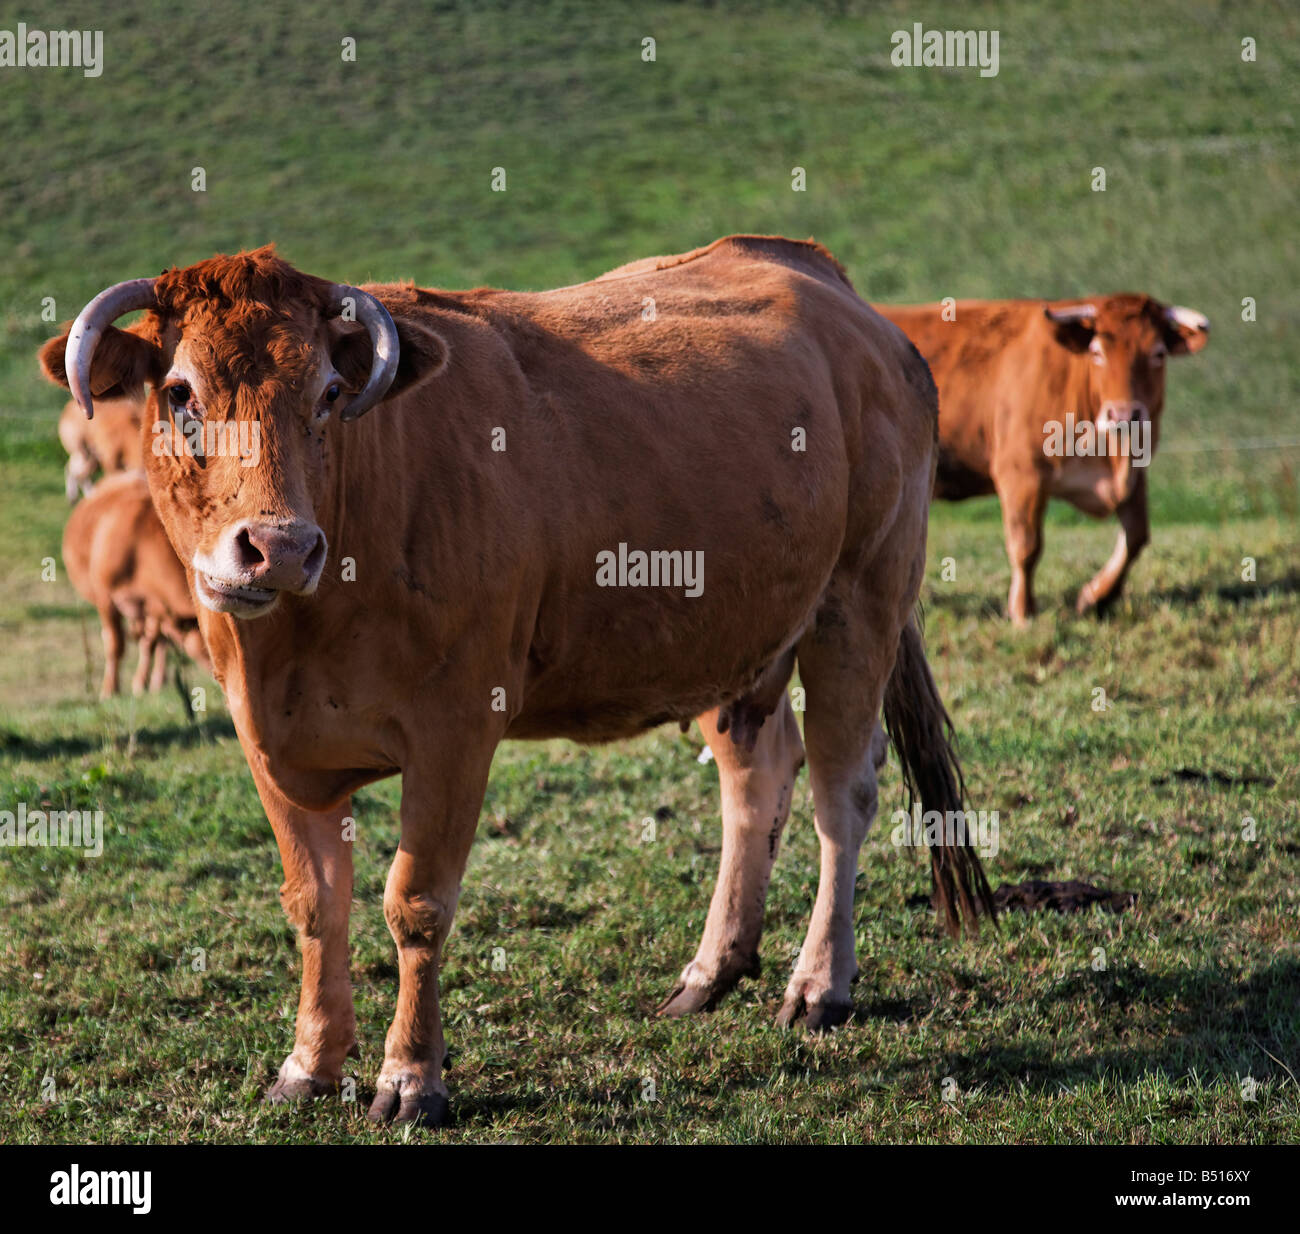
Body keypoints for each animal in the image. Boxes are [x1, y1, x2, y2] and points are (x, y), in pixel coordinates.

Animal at [62, 470, 211, 697]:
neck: (139, 547)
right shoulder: (106, 598)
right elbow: (115, 643)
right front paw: (110, 689)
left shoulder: (155, 605)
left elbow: (150, 643)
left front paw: (140, 684)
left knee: (159, 642)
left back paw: (157, 680)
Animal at [875, 296, 1210, 625]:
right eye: (1097, 352)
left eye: (1158, 353)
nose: (1124, 415)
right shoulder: (1021, 473)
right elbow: (1026, 545)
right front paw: (1023, 612)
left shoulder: (1135, 475)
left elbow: (1137, 535)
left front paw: (1097, 597)